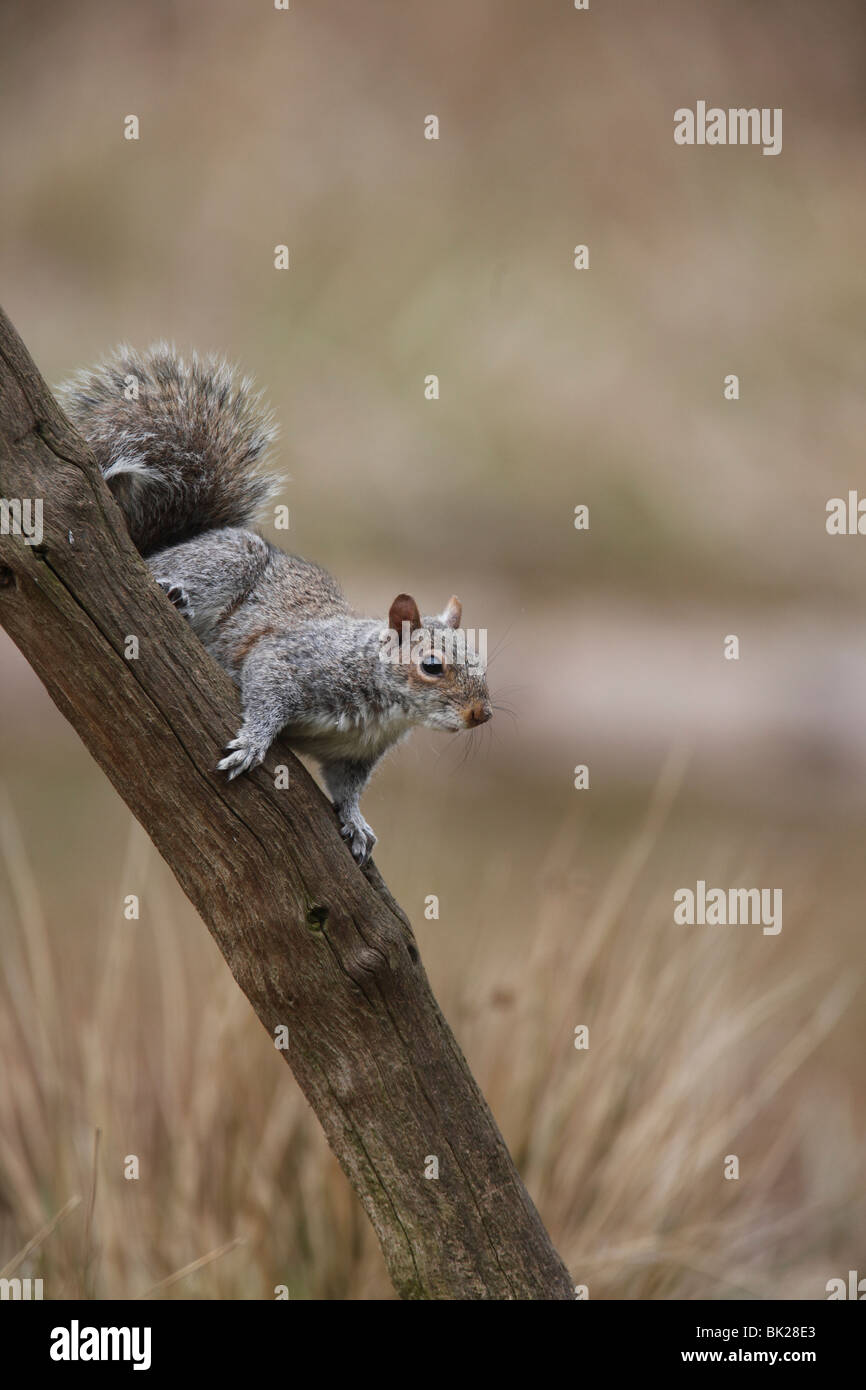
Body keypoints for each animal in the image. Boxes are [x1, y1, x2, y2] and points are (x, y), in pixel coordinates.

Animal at [57, 345, 492, 863]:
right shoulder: (292, 661)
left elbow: (347, 789)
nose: (481, 715)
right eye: (431, 665)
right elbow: (268, 689)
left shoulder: (355, 755)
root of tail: (156, 547)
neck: (384, 707)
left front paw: (356, 822)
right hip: (229, 560)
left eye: (483, 660)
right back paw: (174, 595)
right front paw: (254, 743)